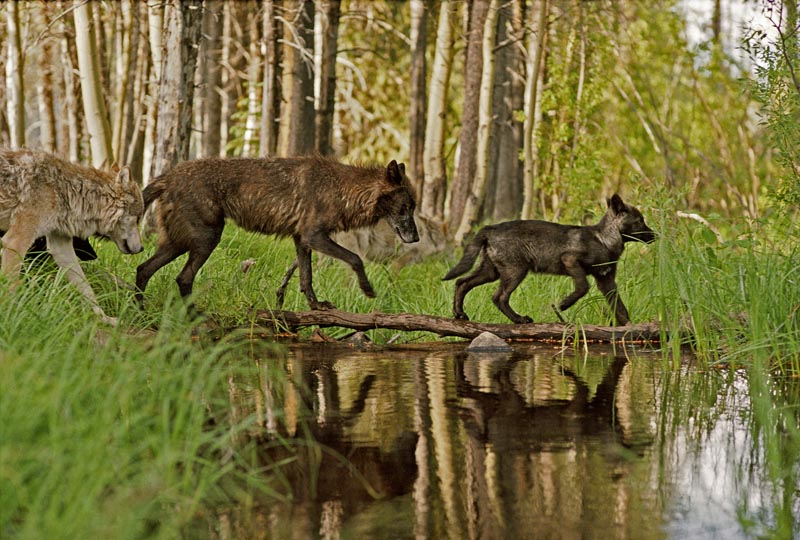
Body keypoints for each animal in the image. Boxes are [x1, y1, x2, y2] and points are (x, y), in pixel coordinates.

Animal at [0, 148, 144, 325]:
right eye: (137, 219)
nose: (142, 248)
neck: (64, 190)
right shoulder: (15, 241)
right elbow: (10, 287)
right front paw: (9, 316)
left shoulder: (60, 247)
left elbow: (87, 288)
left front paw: (104, 318)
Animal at [135, 156, 419, 310]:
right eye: (405, 208)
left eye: (413, 208)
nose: (416, 238)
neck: (342, 191)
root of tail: (168, 176)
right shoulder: (314, 236)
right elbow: (355, 259)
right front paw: (367, 290)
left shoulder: (302, 240)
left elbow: (306, 280)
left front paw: (316, 307)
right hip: (206, 239)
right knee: (183, 278)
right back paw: (194, 315)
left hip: (179, 243)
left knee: (143, 269)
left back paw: (140, 310)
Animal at [443, 194, 655, 326]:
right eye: (640, 221)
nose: (655, 235)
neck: (604, 239)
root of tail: (490, 228)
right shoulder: (570, 260)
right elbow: (582, 287)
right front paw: (564, 304)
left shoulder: (606, 280)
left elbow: (620, 308)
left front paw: (629, 327)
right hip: (515, 272)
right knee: (498, 297)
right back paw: (519, 320)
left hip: (491, 271)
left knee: (461, 282)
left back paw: (459, 314)